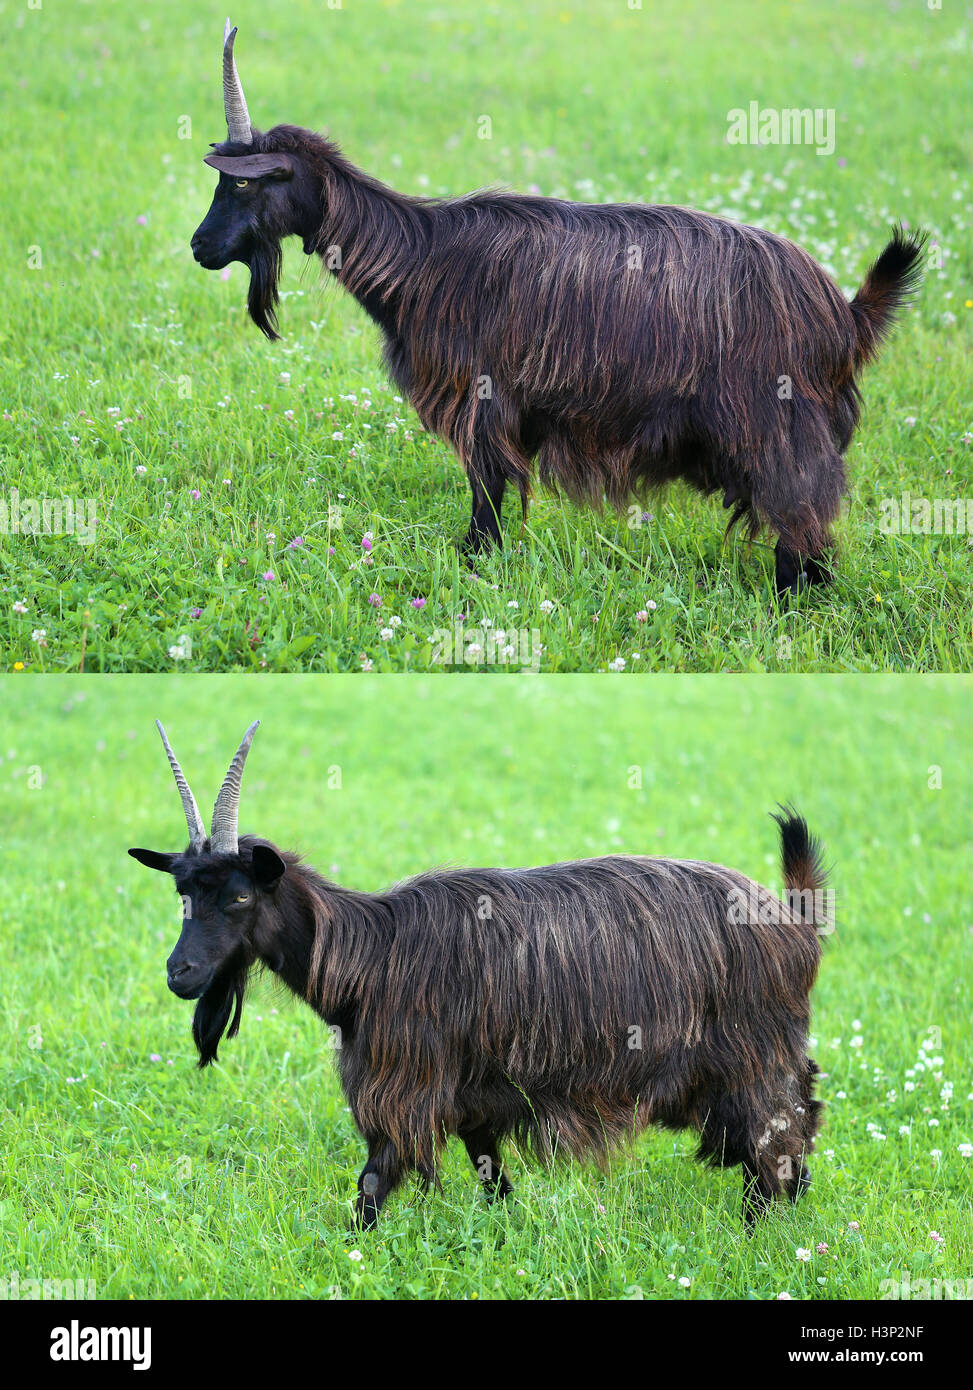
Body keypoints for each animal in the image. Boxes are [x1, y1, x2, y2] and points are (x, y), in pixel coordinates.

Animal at [130, 720, 829, 1229]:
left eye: (241, 896)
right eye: (183, 893)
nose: (179, 973)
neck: (368, 954)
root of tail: (794, 919)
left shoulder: (407, 1085)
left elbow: (373, 1181)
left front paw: (348, 1249)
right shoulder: (475, 1094)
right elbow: (492, 1176)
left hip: (753, 1062)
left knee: (776, 1151)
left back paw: (757, 1237)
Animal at [190, 22, 924, 594]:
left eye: (242, 185)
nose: (199, 247)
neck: (423, 259)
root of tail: (841, 315)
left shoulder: (485, 400)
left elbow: (485, 489)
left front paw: (474, 564)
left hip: (776, 427)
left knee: (804, 527)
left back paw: (787, 607)